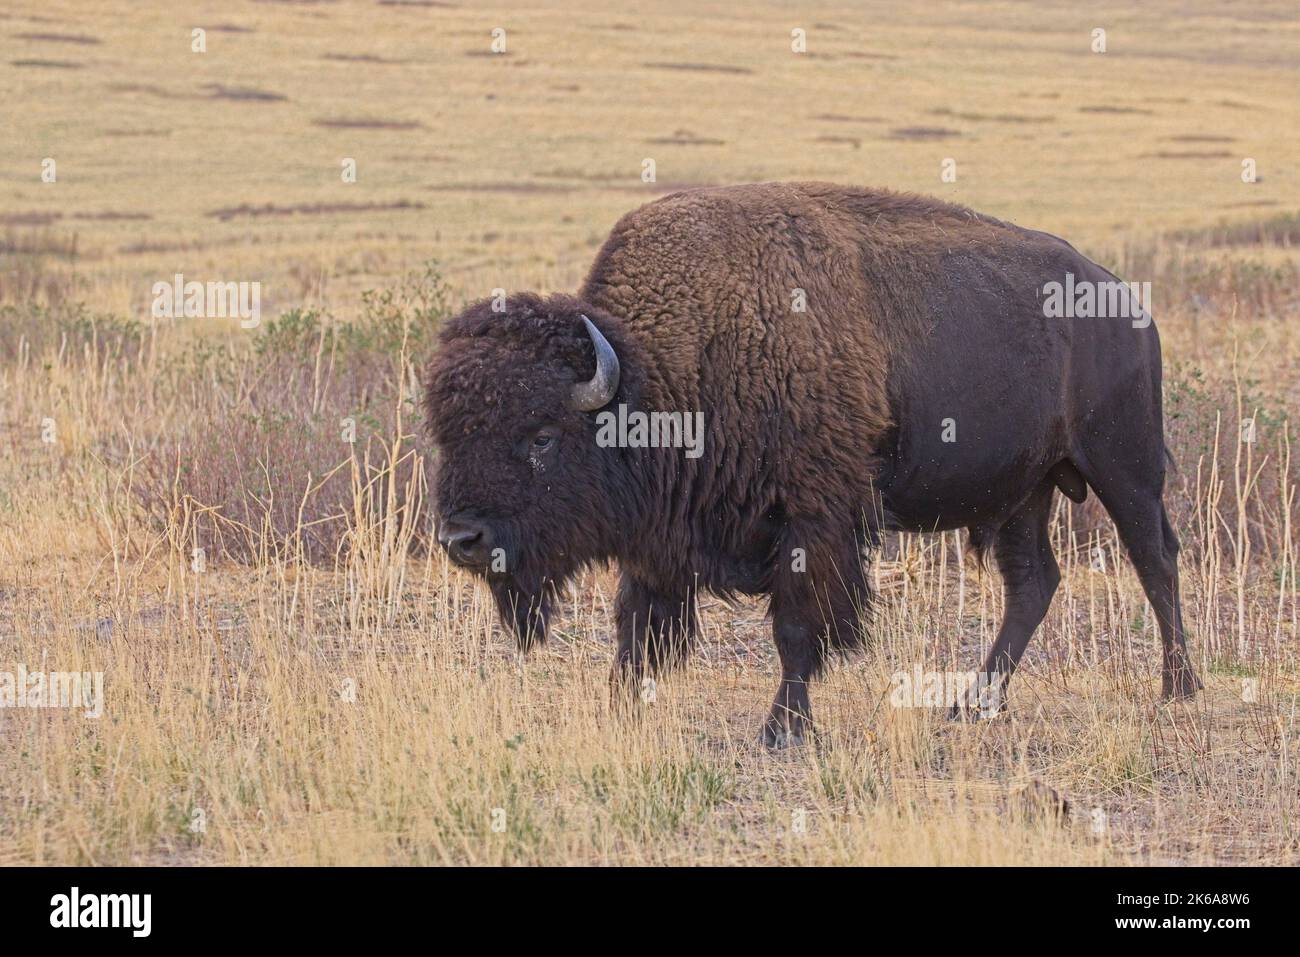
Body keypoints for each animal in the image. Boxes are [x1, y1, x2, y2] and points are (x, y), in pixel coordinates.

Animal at [424, 182, 1200, 746]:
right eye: (447, 433)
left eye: (542, 436)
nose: (462, 539)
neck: (662, 375)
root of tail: (1127, 303)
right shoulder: (658, 537)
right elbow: (638, 627)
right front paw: (620, 706)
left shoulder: (814, 519)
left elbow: (796, 628)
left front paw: (783, 729)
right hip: (1023, 494)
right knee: (1033, 584)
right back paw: (970, 704)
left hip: (1122, 468)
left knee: (1155, 558)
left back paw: (1178, 689)